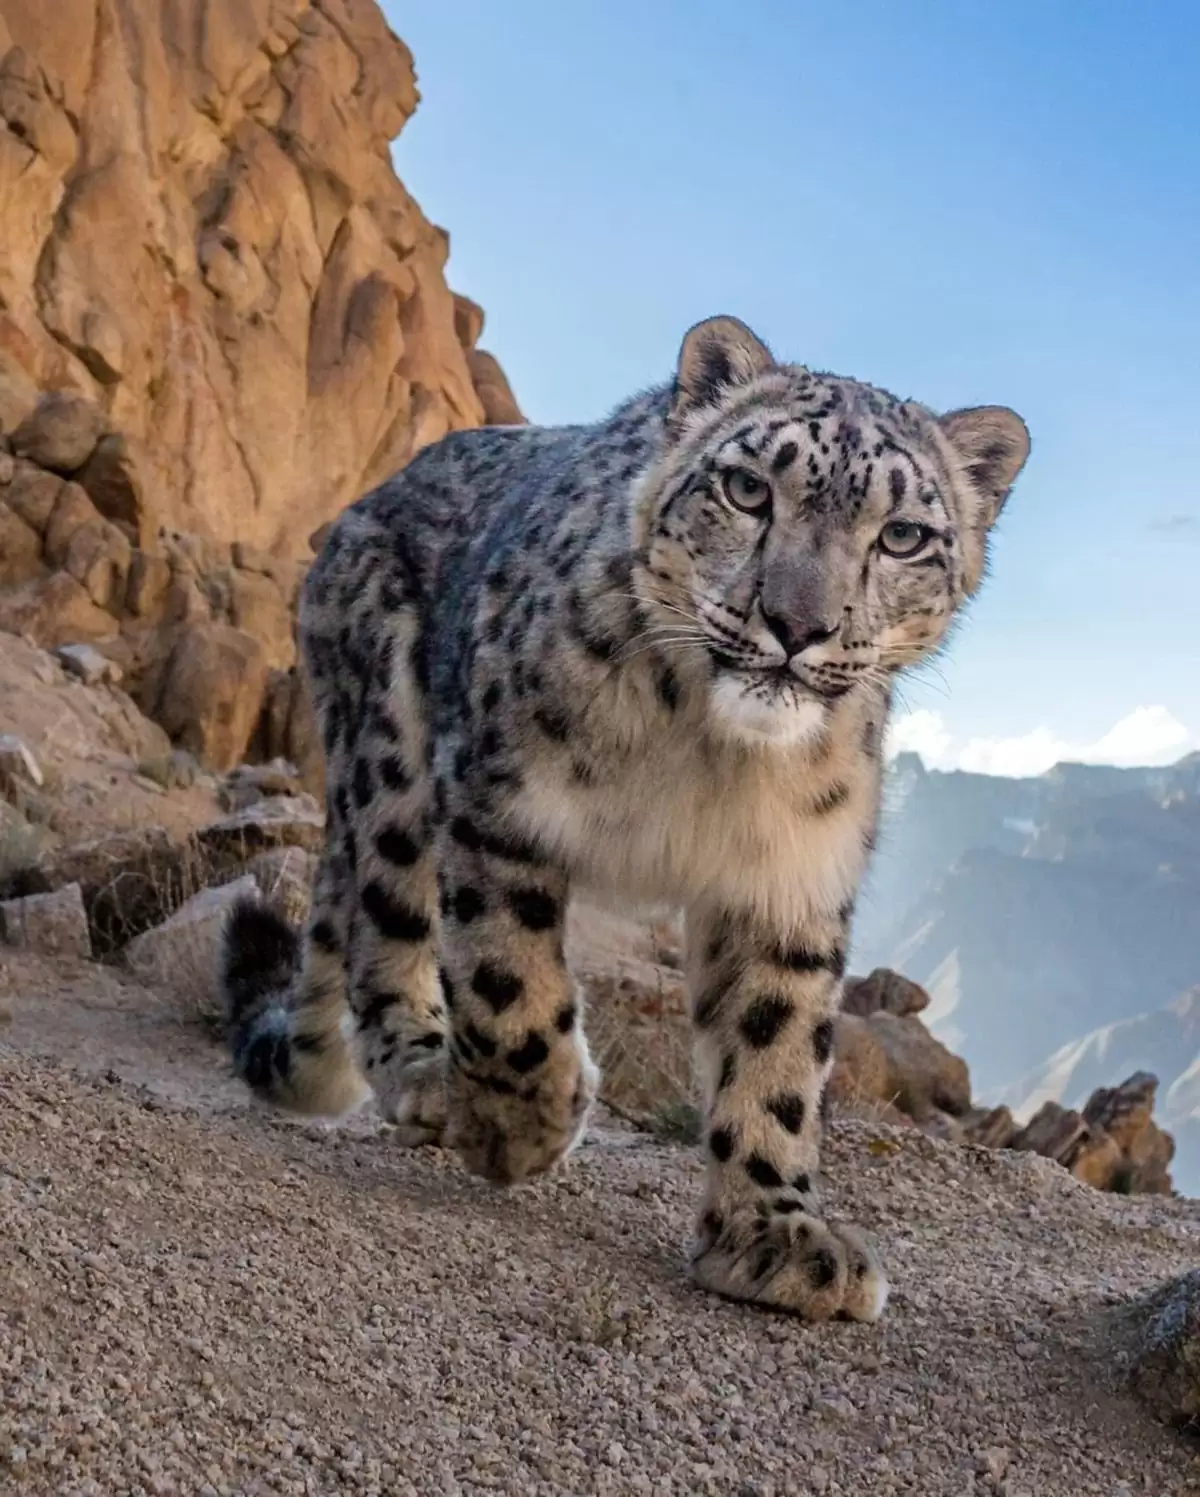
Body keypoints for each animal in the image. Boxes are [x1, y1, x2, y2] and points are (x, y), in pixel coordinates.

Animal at [220, 315, 1030, 1322]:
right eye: (748, 488)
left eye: (905, 535)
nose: (796, 625)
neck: (713, 755)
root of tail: (360, 509)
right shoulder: (501, 800)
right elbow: (509, 985)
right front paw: (520, 1128)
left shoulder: (791, 876)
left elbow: (776, 1049)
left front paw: (773, 1235)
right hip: (392, 757)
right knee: (384, 914)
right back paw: (425, 1071)